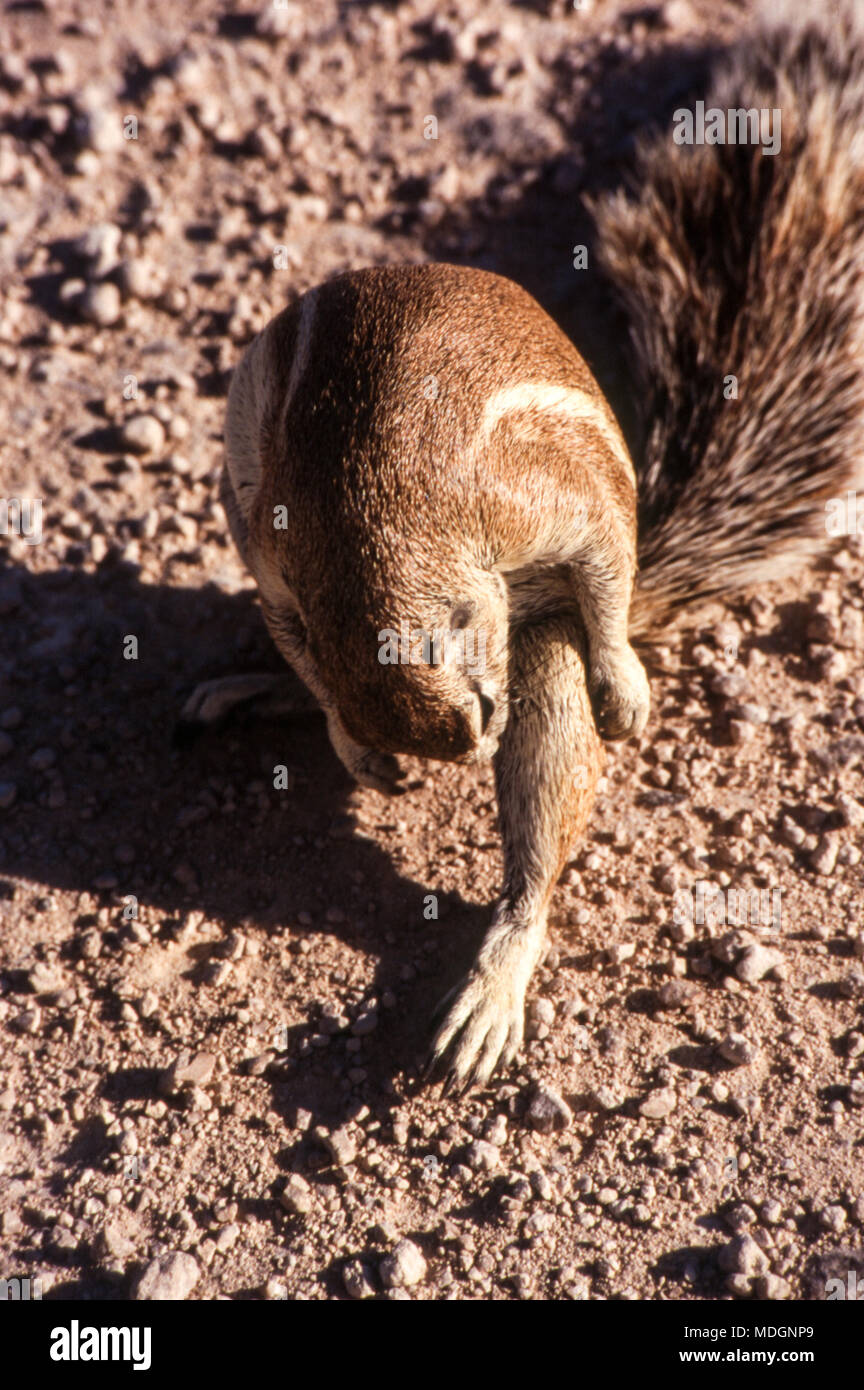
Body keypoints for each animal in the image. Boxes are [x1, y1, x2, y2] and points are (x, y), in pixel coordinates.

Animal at [182, 1, 864, 1091]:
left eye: (474, 677)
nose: (463, 745)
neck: (368, 533)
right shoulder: (277, 569)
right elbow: (305, 654)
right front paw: (343, 734)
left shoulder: (542, 513)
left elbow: (606, 557)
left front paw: (626, 685)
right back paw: (251, 693)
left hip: (546, 658)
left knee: (541, 835)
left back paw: (490, 992)